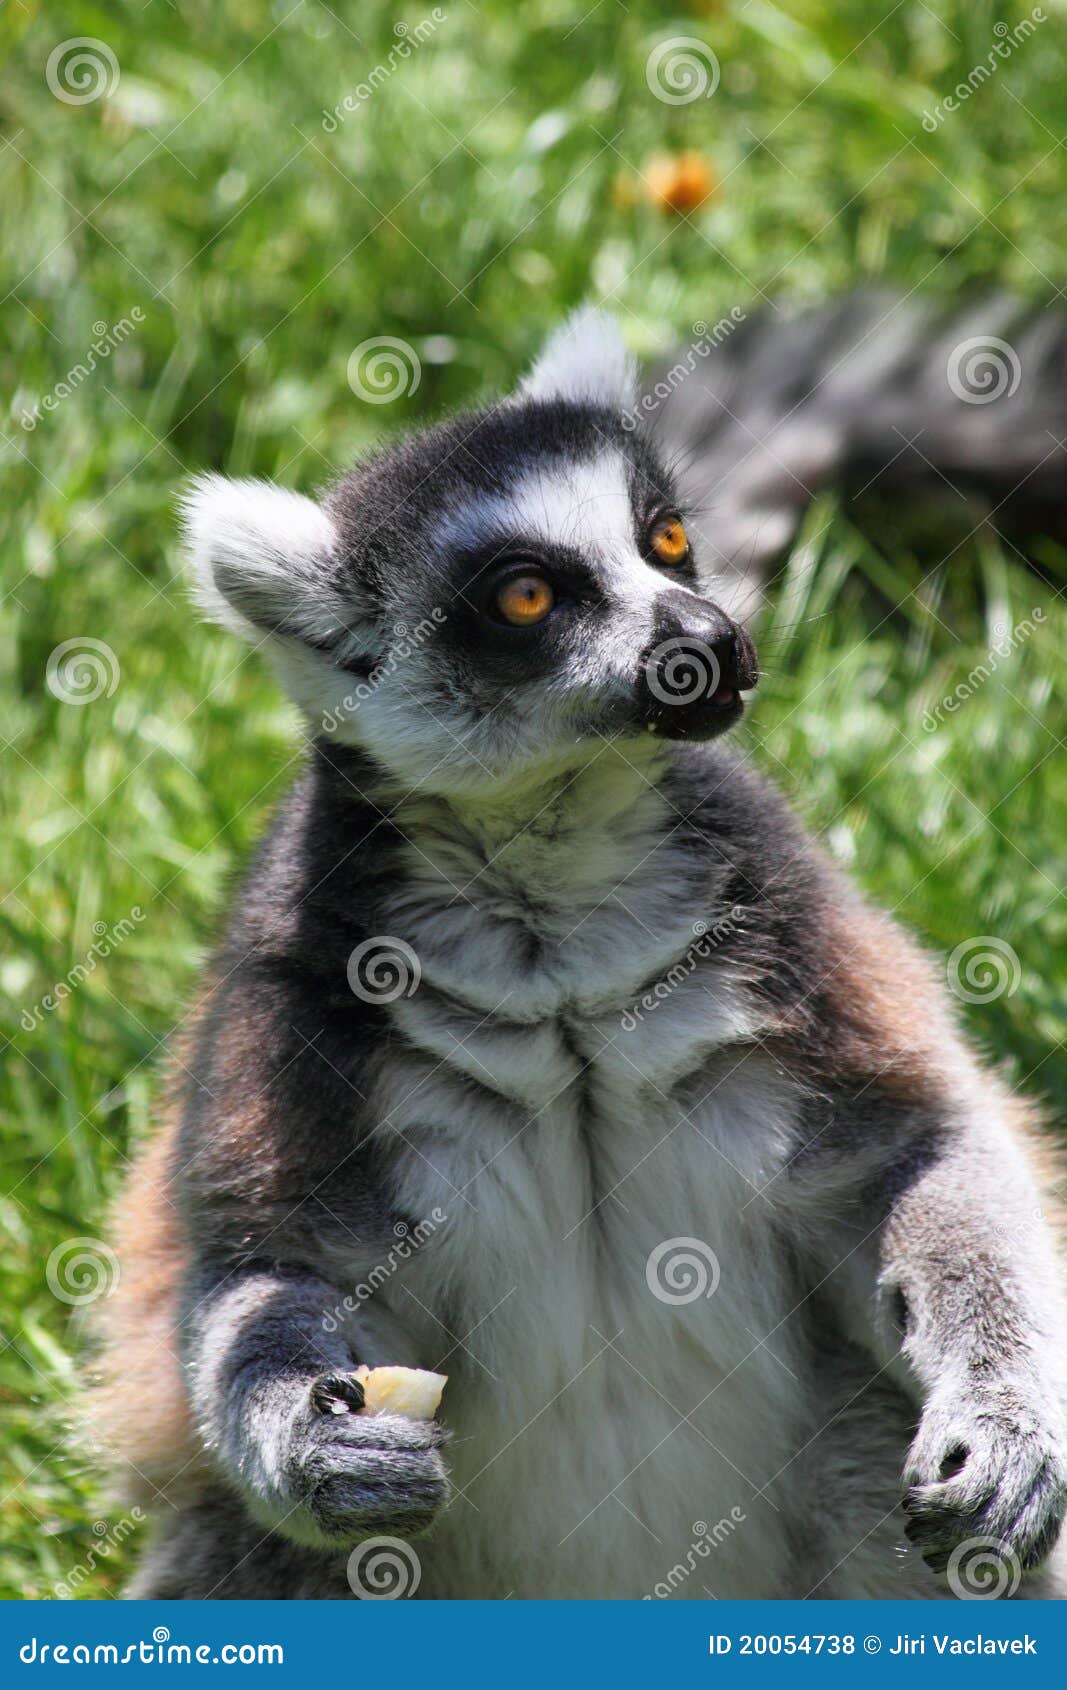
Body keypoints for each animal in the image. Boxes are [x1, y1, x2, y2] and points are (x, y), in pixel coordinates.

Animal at [90, 303, 1067, 1599]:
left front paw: (1001, 1418)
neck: (548, 902)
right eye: (524, 598)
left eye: (666, 539)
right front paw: (313, 1443)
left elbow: (915, 1149)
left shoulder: (783, 916)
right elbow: (262, 1271)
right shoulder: (293, 992)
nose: (713, 638)